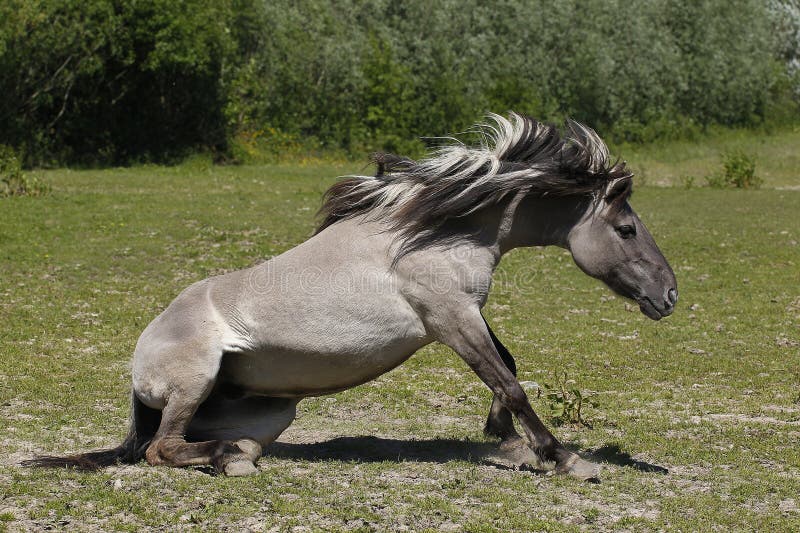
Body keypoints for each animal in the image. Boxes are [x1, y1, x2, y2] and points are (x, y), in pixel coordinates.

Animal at [25, 113, 677, 481]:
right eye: (626, 229)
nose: (669, 295)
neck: (433, 228)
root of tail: (139, 373)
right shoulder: (450, 317)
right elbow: (510, 382)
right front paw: (561, 458)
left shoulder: (466, 312)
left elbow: (508, 369)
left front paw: (507, 443)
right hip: (193, 383)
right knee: (160, 450)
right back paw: (225, 458)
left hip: (274, 410)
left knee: (204, 444)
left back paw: (236, 453)